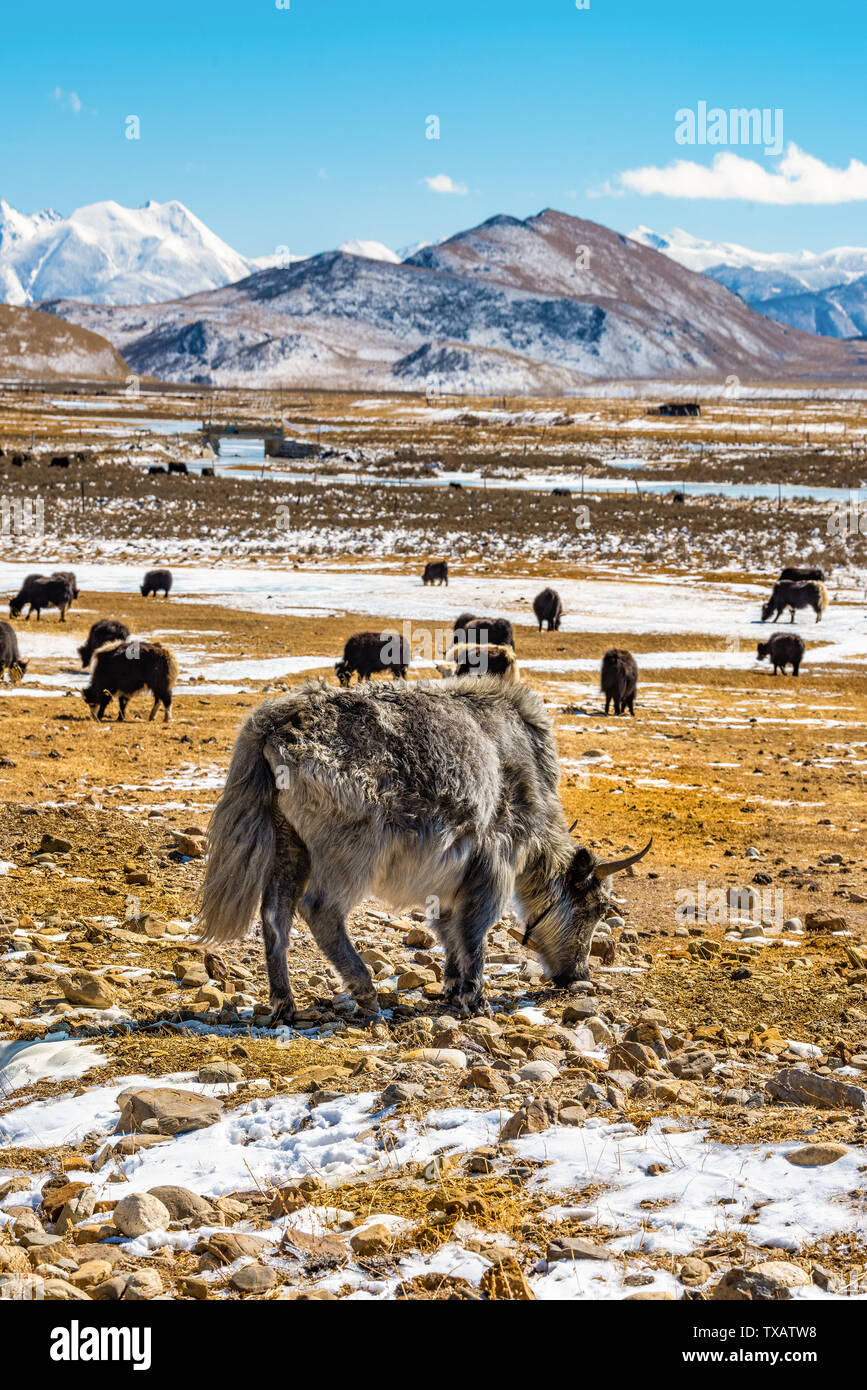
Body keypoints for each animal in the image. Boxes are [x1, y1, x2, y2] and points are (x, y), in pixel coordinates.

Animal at [199, 677, 652, 1022]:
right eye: (593, 908)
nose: (578, 976)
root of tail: (277, 722)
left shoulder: (453, 878)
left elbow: (448, 927)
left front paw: (452, 986)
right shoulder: (495, 861)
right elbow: (475, 930)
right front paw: (476, 999)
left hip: (288, 843)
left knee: (275, 915)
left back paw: (285, 1004)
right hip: (350, 852)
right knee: (320, 909)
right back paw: (366, 994)